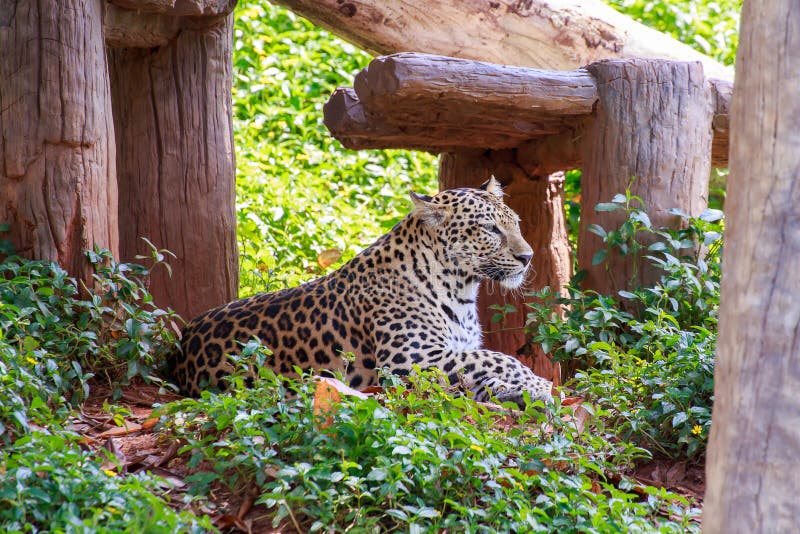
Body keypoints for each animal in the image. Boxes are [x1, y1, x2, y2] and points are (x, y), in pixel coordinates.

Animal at [168, 177, 555, 406]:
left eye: (516, 223)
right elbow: (499, 357)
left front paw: (516, 390)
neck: (460, 288)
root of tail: (181, 345)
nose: (527, 257)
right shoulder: (409, 360)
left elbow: (484, 365)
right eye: (490, 229)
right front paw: (539, 385)